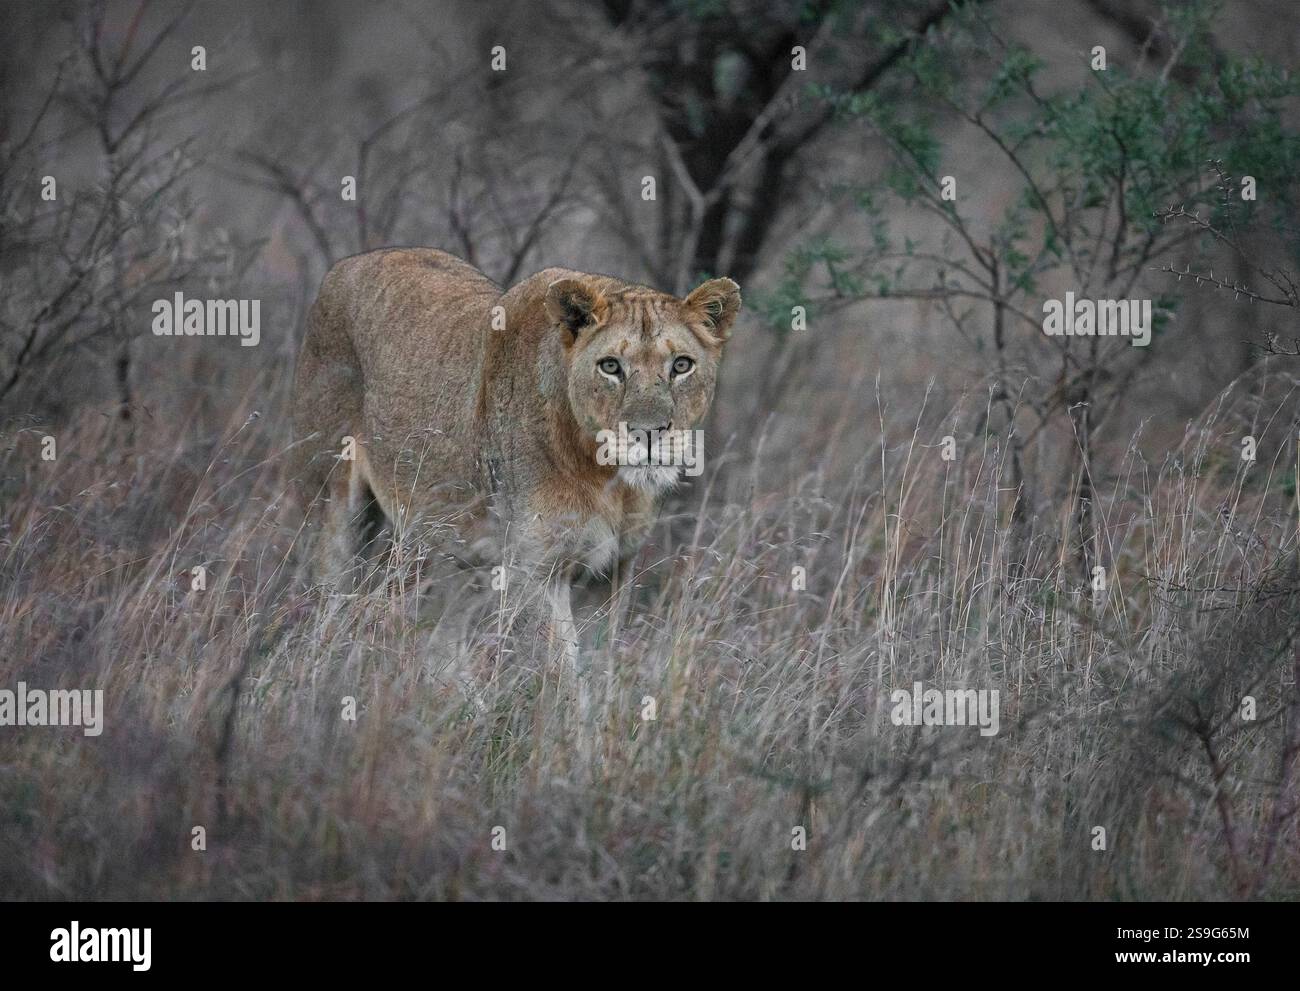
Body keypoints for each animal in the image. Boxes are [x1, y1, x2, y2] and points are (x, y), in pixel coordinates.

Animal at [291, 247, 740, 665]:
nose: (648, 433)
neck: (608, 481)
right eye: (611, 367)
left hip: (452, 550)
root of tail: (346, 264)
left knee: (441, 640)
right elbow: (561, 674)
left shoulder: (611, 571)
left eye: (681, 365)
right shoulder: (535, 570)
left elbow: (598, 665)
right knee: (327, 602)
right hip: (334, 507)